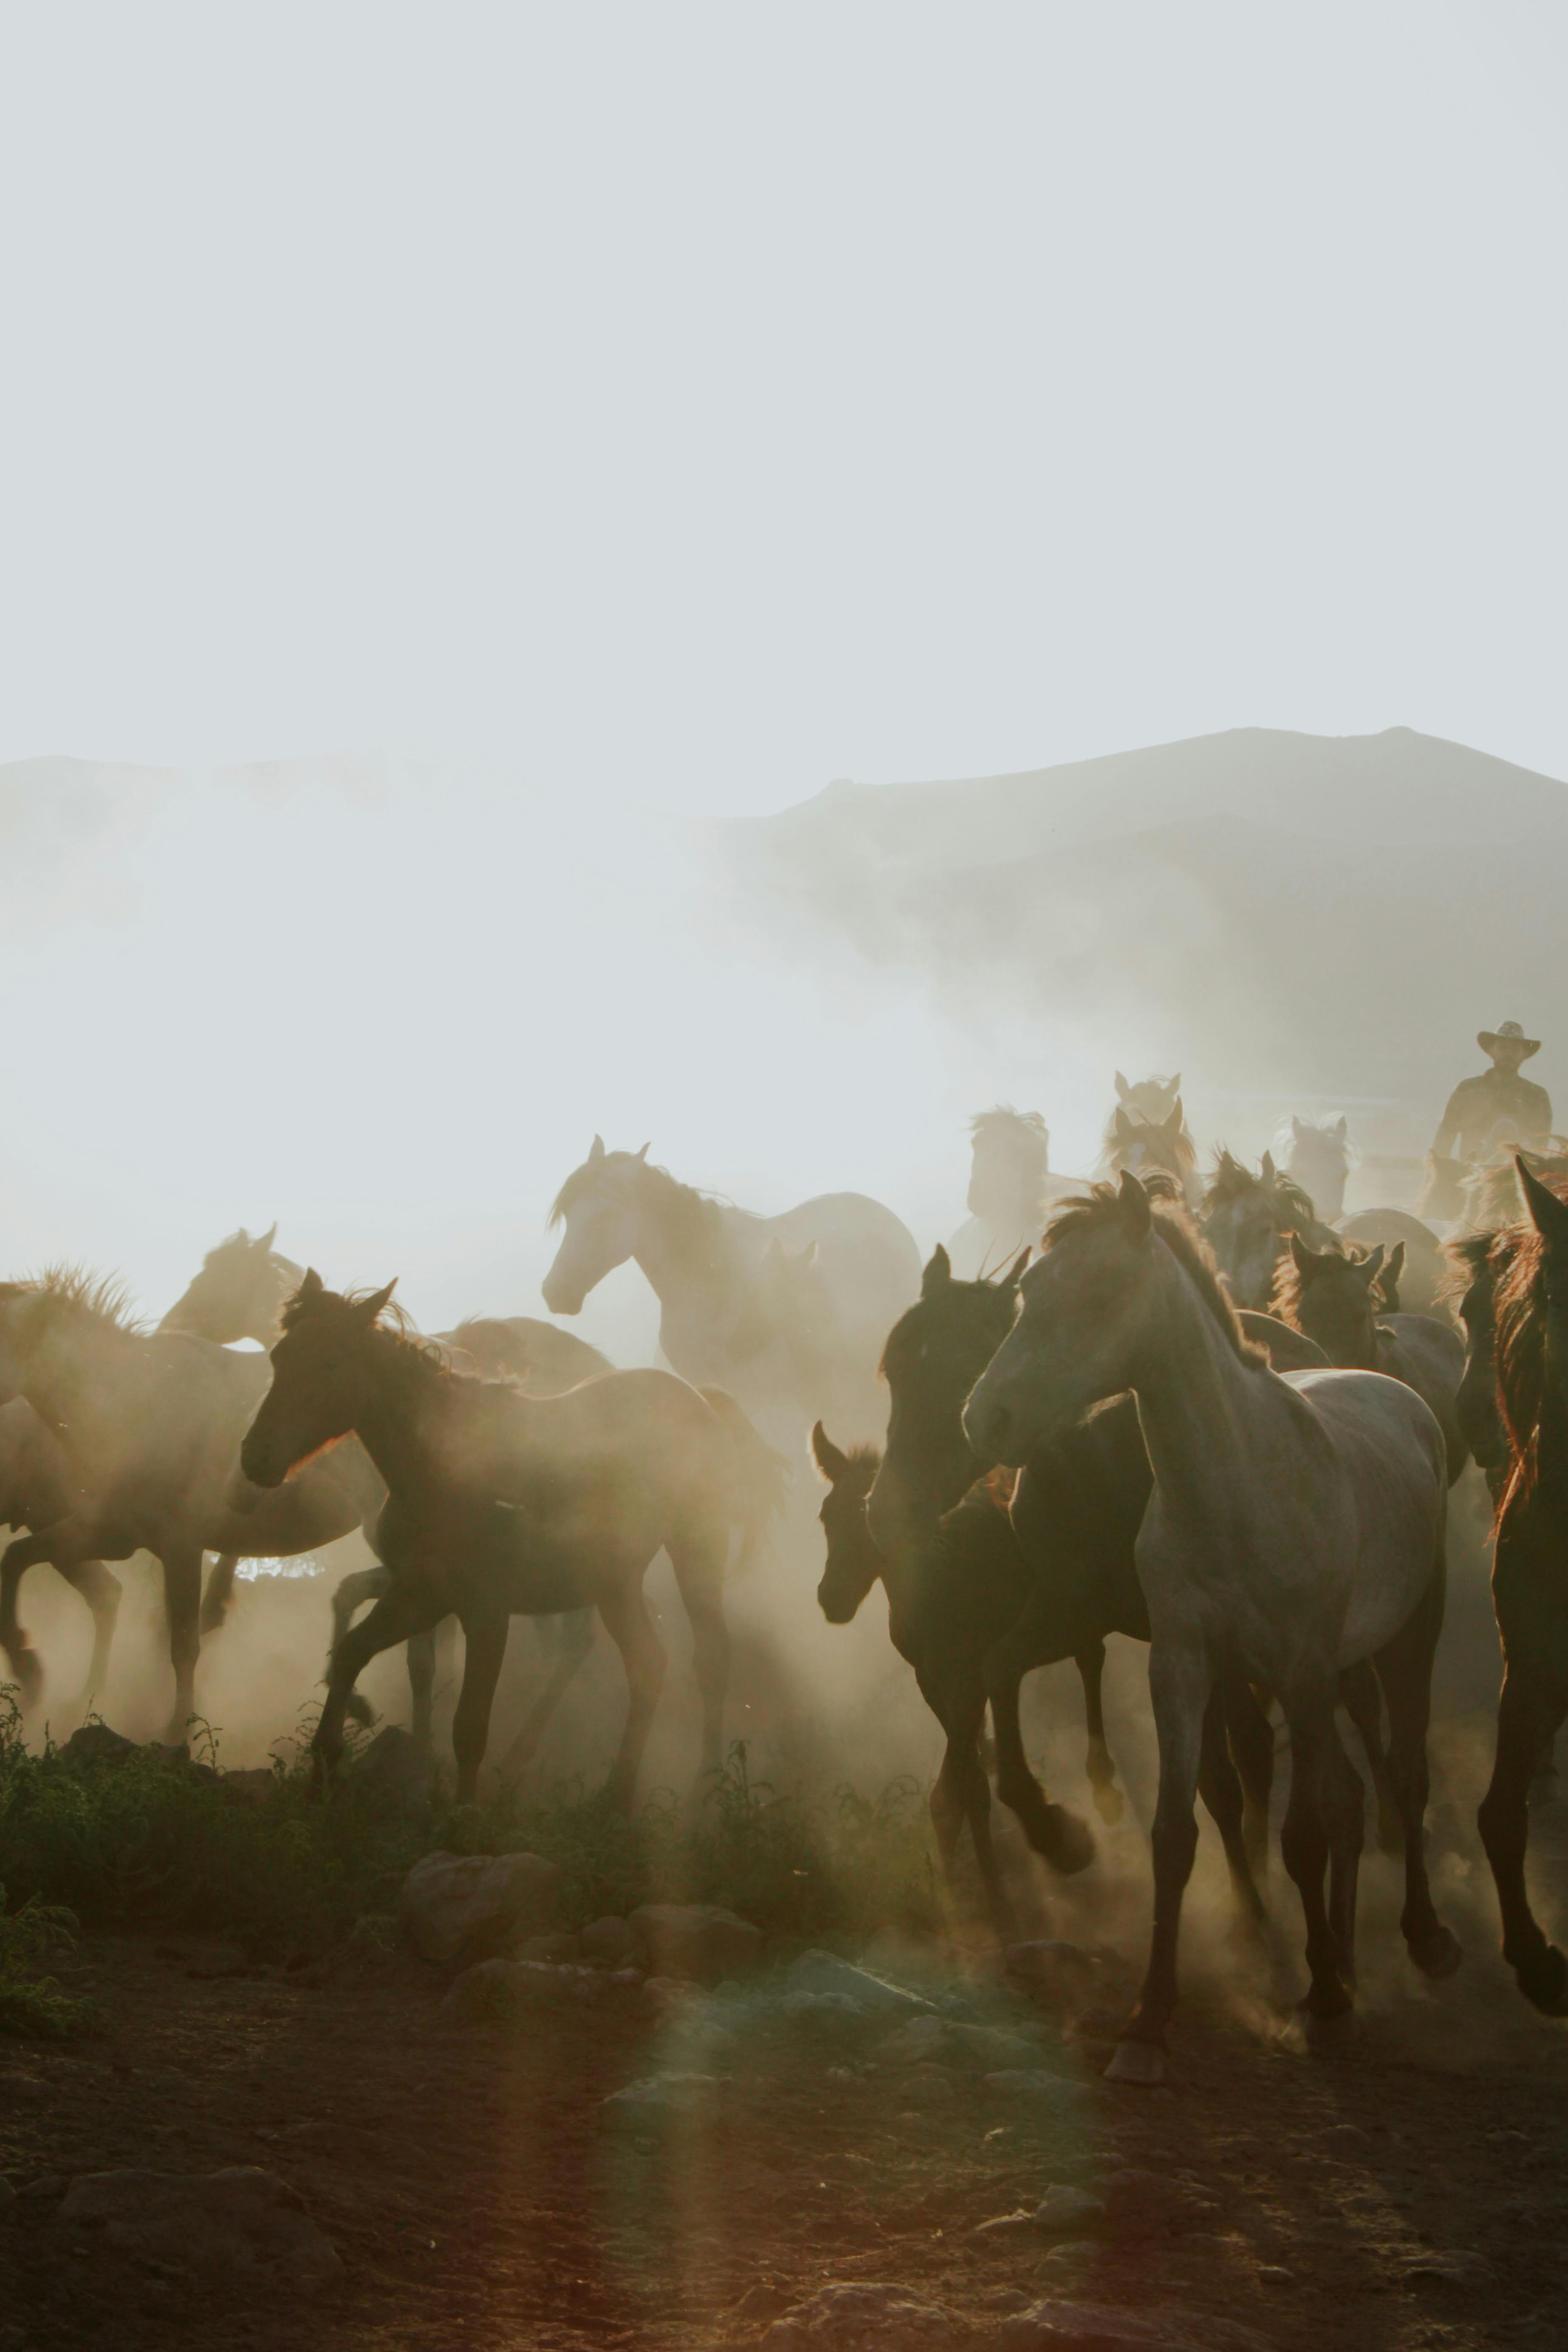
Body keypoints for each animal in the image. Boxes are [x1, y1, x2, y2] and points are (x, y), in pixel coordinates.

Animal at [0, 1272, 383, 1738]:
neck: (138, 1407)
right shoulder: (113, 1535)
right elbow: (16, 1558)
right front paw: (29, 1670)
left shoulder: (181, 1547)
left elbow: (183, 1645)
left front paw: (176, 1734)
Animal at [238, 1273, 760, 1807]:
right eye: (279, 1356)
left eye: (330, 1361)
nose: (256, 1457)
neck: (439, 1469)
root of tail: (699, 1399)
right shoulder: (418, 1594)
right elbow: (352, 1653)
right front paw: (323, 1764)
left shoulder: (486, 1611)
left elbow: (469, 1728)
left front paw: (465, 1814)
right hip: (614, 1583)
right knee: (647, 1666)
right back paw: (614, 1797)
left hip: (694, 1552)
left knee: (709, 1660)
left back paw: (703, 1791)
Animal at [964, 1174, 1458, 2085]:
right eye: (1027, 1292)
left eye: (1100, 1293)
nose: (987, 1418)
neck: (1237, 1482)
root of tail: (1395, 1389)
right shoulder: (1184, 1664)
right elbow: (1178, 1830)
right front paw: (1147, 2018)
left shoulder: (1298, 1670)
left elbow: (1299, 1830)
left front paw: (1323, 1993)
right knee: (1349, 1793)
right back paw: (1340, 1952)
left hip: (1405, 1639)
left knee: (1402, 1778)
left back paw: (1421, 1939)